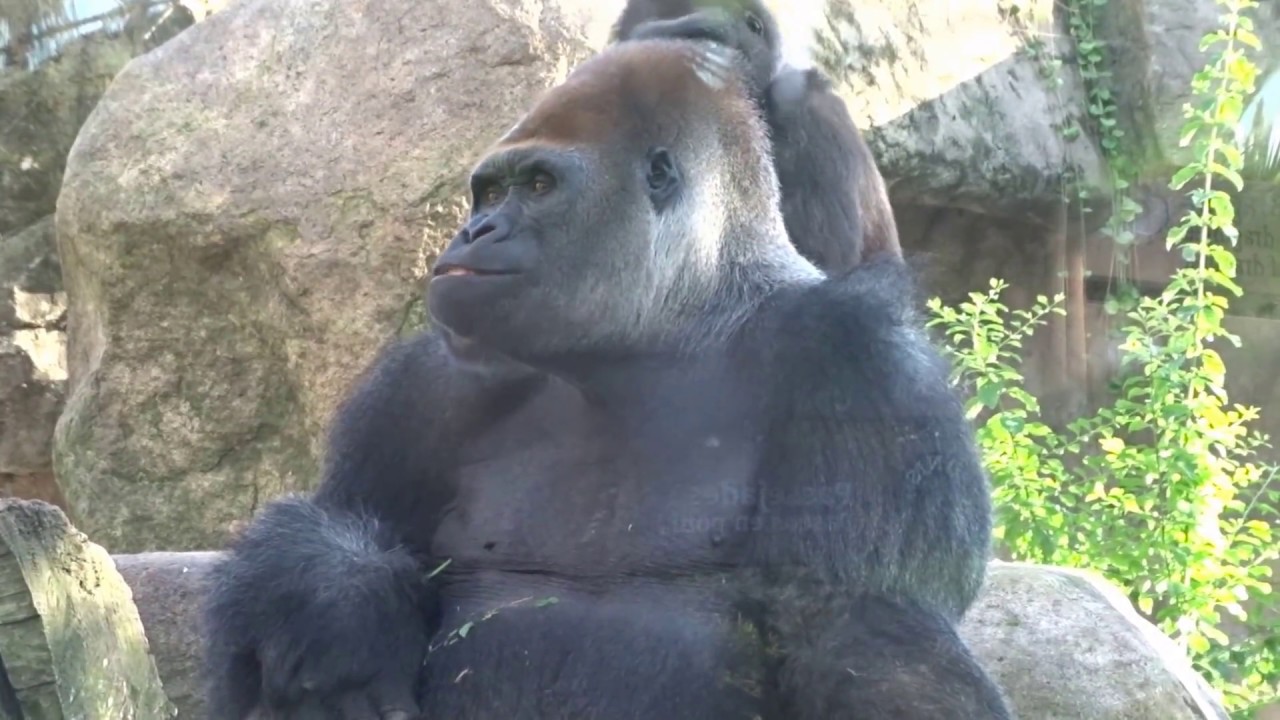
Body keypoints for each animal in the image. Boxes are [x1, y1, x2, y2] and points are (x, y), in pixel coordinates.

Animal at [201, 39, 1007, 720]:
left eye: (538, 184)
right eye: (486, 192)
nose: (474, 232)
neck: (675, 322)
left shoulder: (866, 366)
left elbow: (859, 630)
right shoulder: (423, 388)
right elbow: (331, 526)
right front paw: (341, 608)